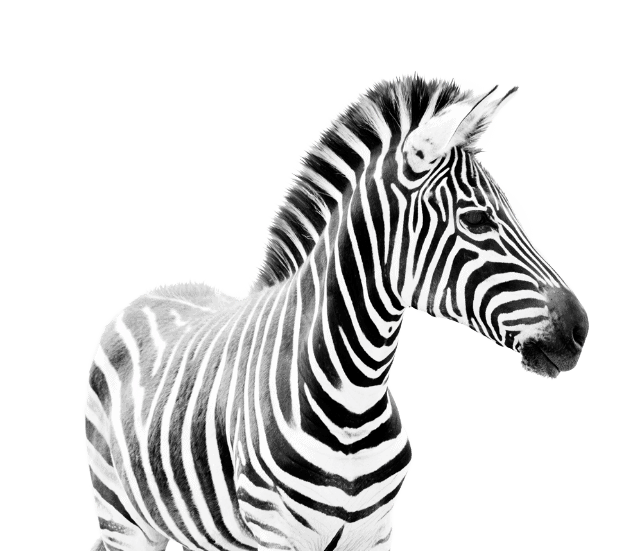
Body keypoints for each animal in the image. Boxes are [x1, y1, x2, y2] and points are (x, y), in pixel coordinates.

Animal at [85, 75, 589, 551]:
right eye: (476, 220)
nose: (580, 329)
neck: (354, 398)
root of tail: (154, 291)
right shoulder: (274, 531)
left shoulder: (377, 533)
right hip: (123, 520)